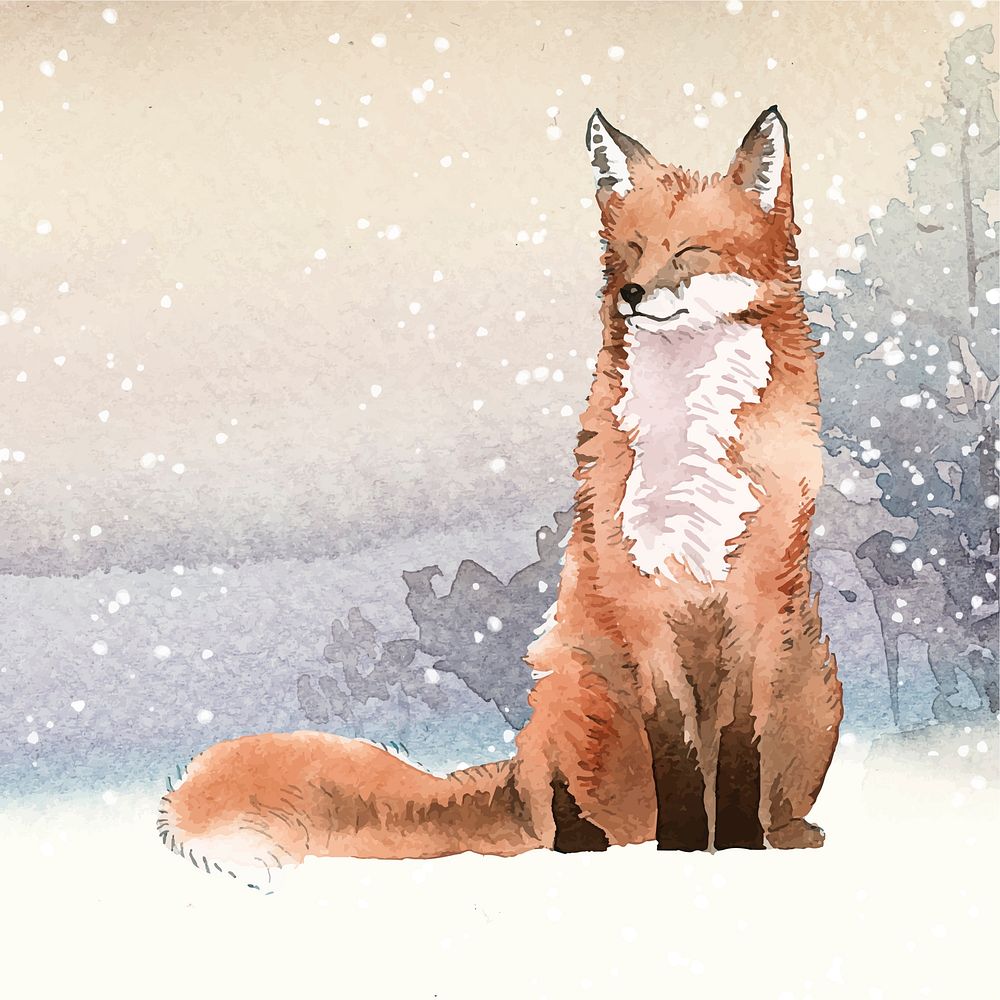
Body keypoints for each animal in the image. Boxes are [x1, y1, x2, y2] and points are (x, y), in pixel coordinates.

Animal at [158, 106, 843, 878]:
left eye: (690, 251)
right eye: (630, 252)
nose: (632, 295)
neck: (686, 435)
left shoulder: (757, 604)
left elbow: (738, 754)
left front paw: (737, 847)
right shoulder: (641, 604)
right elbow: (675, 753)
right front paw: (682, 850)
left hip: (812, 684)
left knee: (768, 793)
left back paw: (785, 835)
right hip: (576, 692)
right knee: (556, 807)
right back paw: (596, 844)